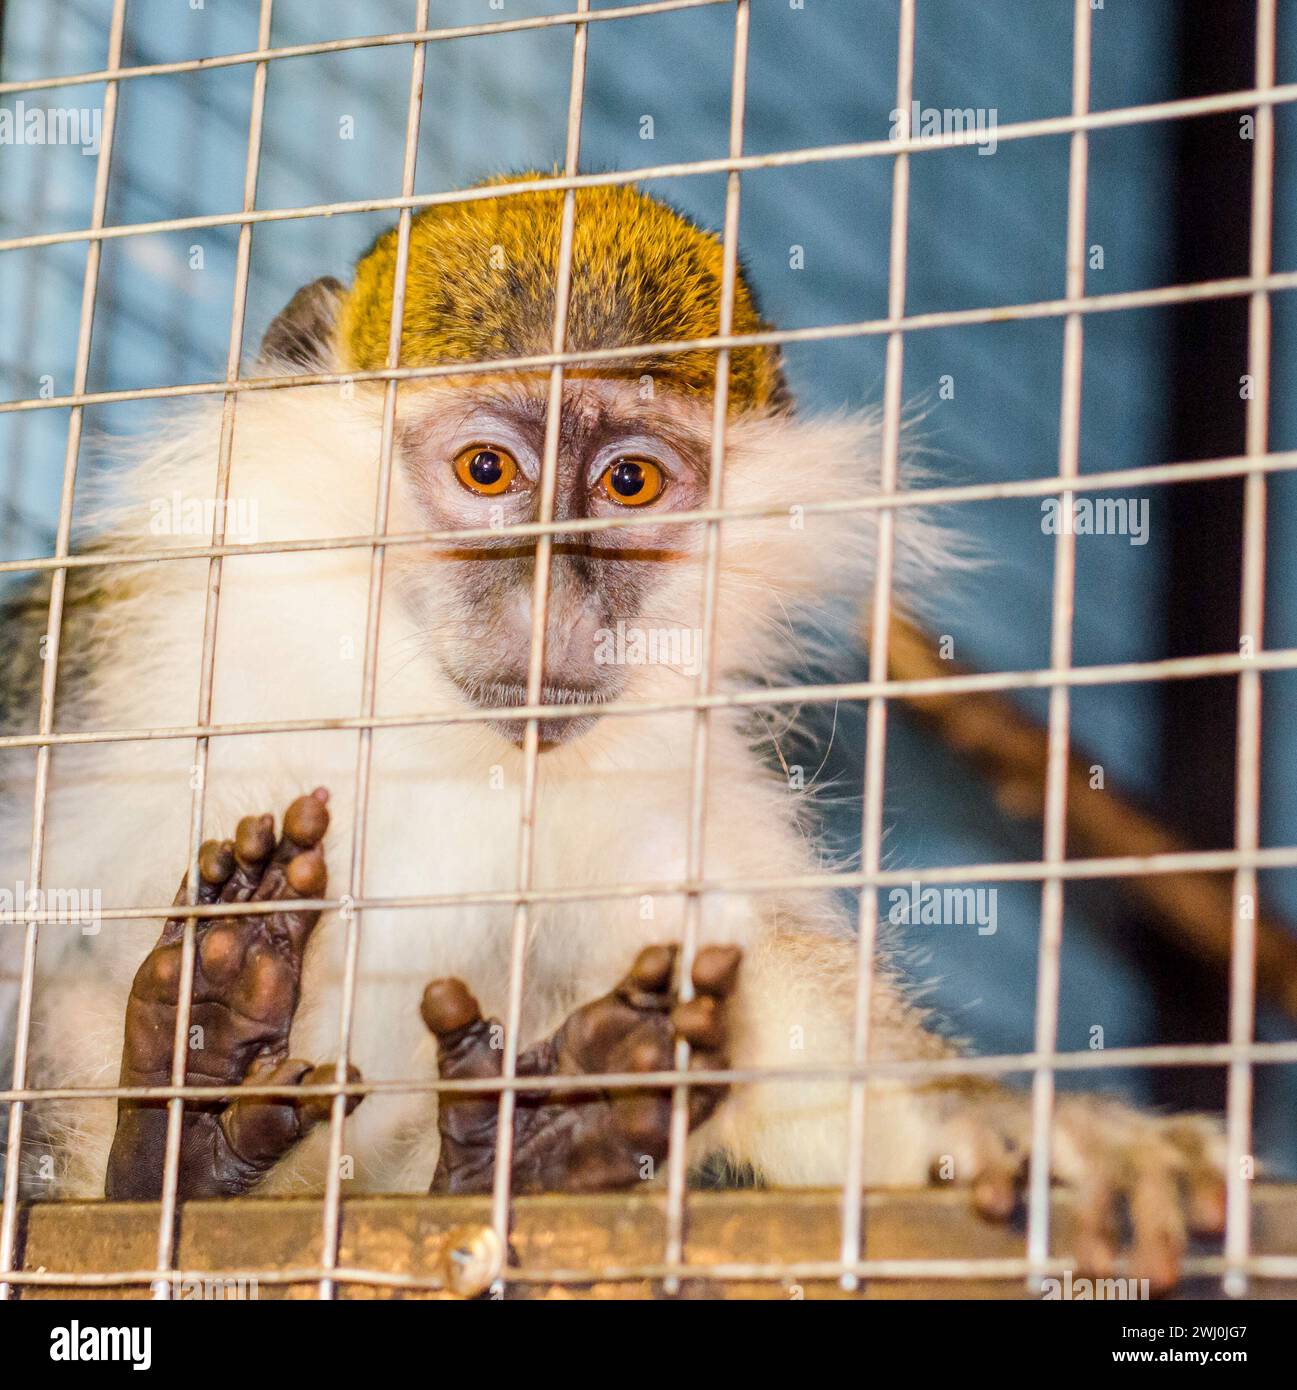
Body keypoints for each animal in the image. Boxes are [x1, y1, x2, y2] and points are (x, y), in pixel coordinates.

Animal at [0, 176, 1225, 1289]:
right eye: (488, 469)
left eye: (628, 480)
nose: (551, 595)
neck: (425, 719)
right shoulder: (124, 659)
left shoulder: (668, 767)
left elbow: (761, 974)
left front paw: (1031, 1131)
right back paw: (182, 1124)